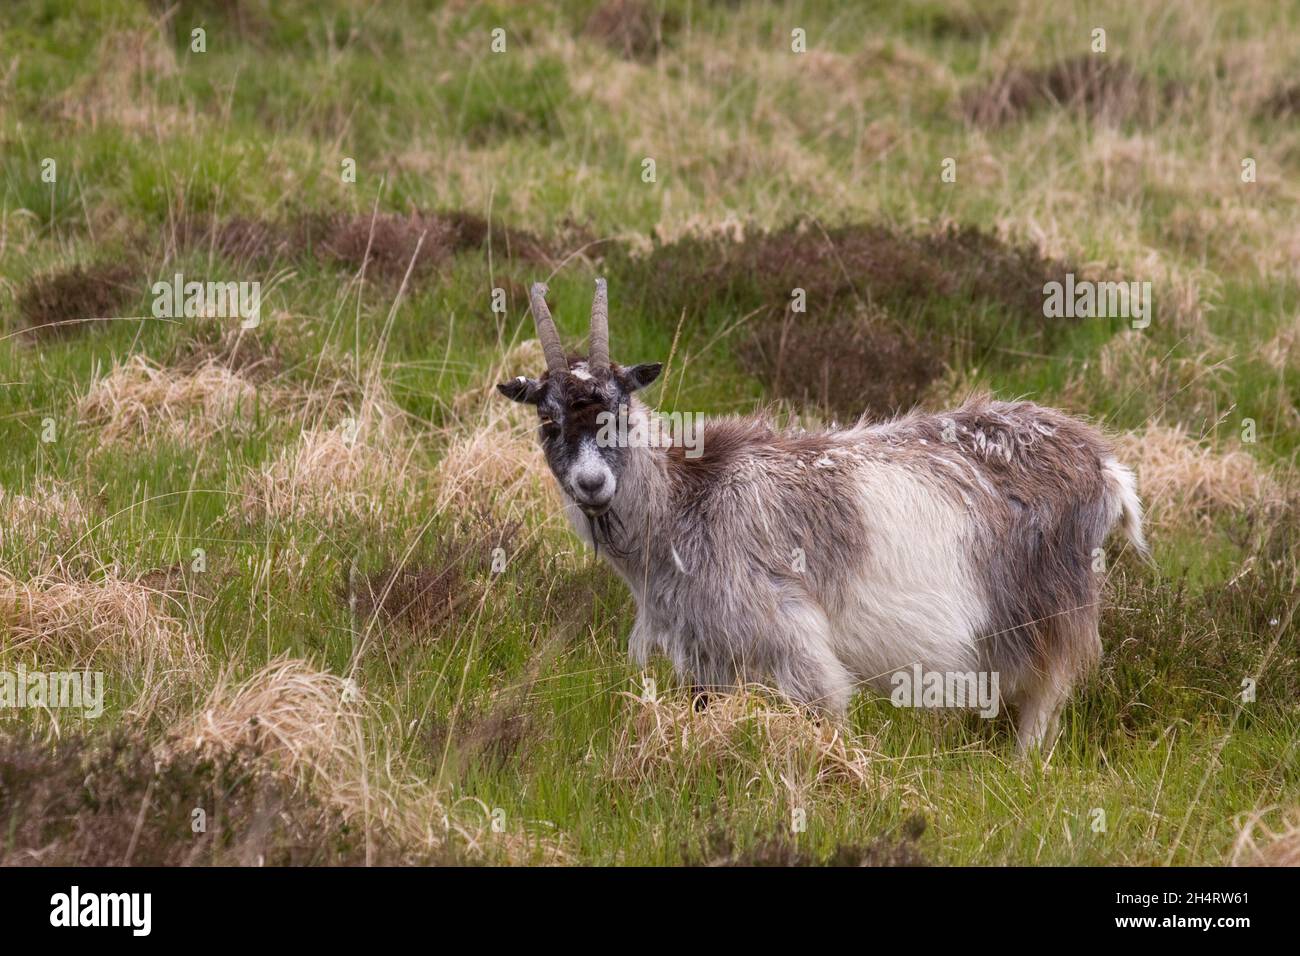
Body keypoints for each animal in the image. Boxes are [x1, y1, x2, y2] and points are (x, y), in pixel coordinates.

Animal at [496, 277, 1149, 754]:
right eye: (548, 421)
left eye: (618, 411)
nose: (592, 484)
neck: (688, 498)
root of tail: (1105, 466)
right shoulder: (707, 656)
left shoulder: (791, 641)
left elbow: (825, 711)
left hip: (1054, 614)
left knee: (1044, 703)